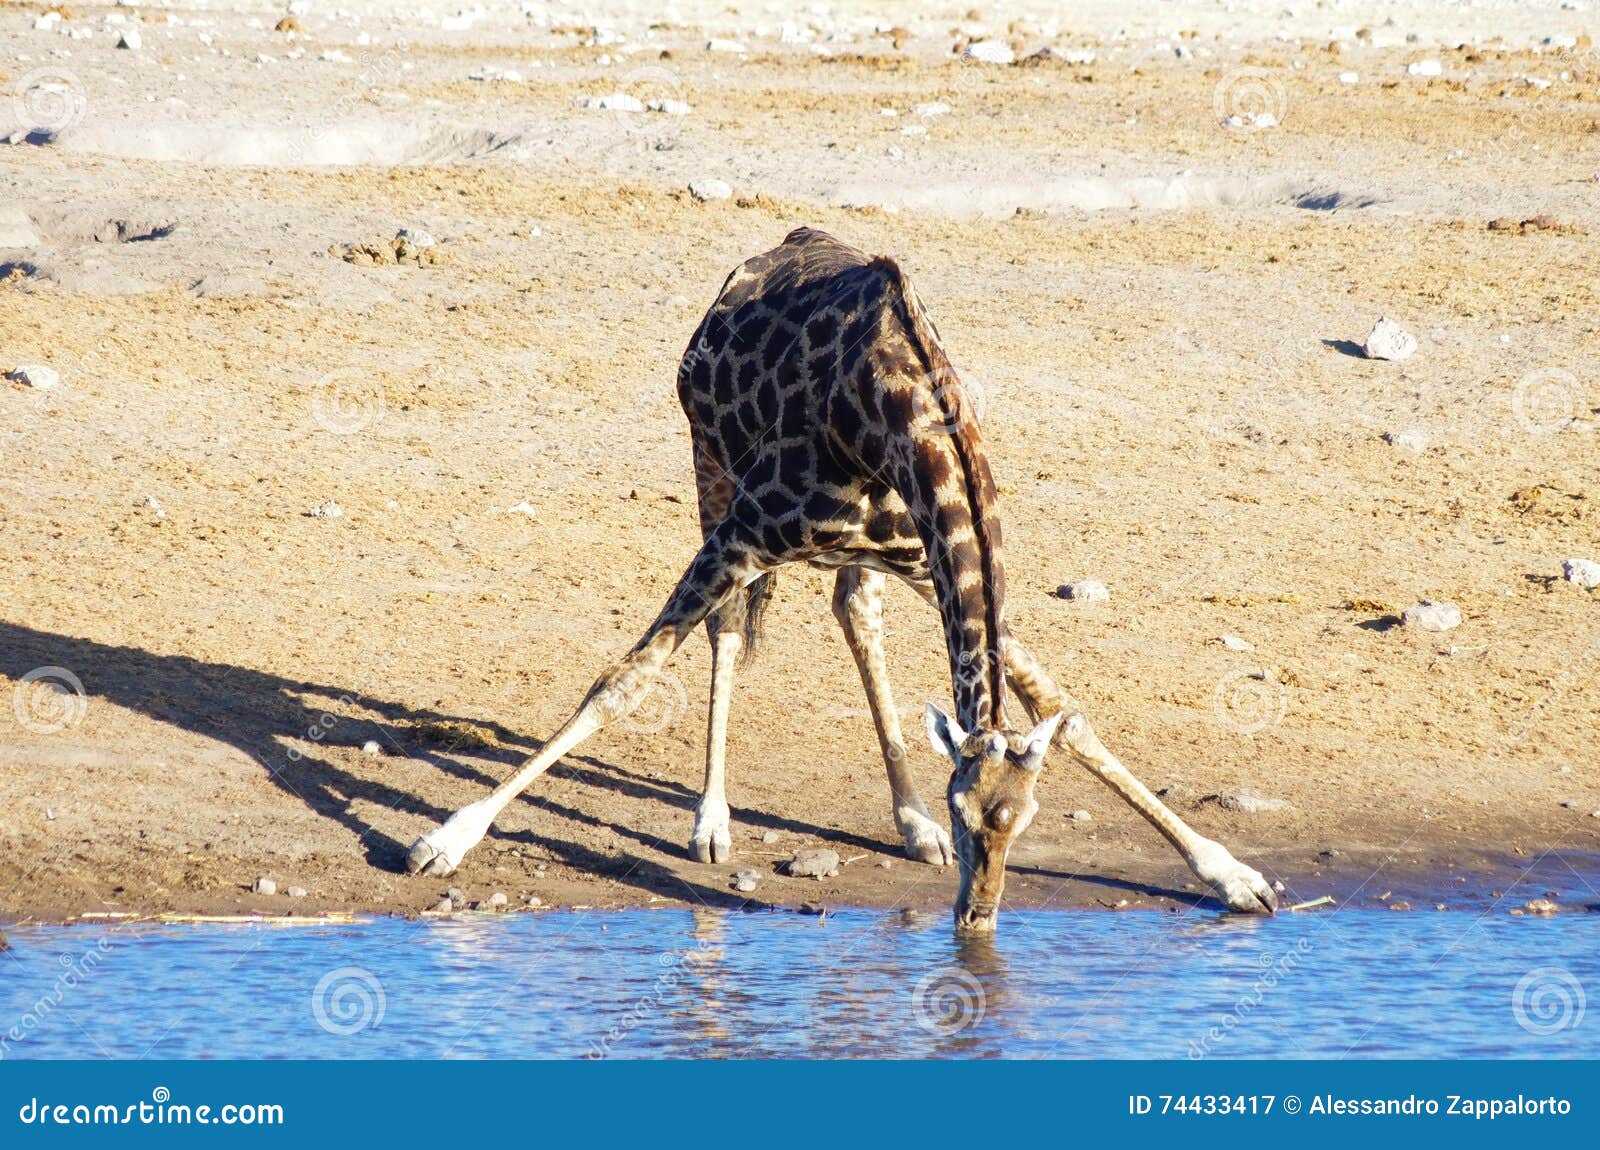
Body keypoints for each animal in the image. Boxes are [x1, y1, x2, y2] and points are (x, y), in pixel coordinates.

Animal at [406, 227, 1278, 930]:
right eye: (967, 813)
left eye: (1023, 820)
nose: (977, 919)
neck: (895, 422)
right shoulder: (742, 535)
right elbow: (623, 681)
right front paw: (447, 838)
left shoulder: (928, 560)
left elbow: (1067, 712)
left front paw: (1234, 876)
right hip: (709, 468)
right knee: (730, 631)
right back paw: (712, 822)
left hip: (862, 557)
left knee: (854, 615)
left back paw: (906, 822)